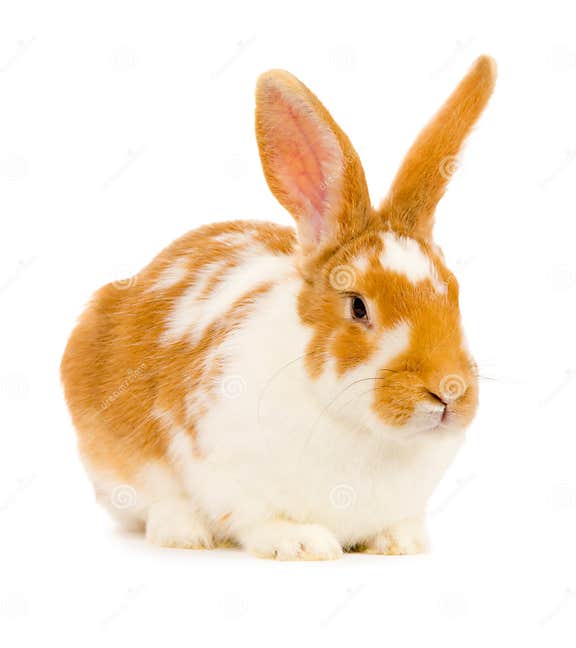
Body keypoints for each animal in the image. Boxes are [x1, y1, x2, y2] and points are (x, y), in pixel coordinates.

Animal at [61, 56, 496, 560]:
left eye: (455, 291)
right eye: (358, 307)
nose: (449, 389)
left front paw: (399, 542)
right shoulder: (221, 466)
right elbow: (258, 518)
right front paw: (303, 543)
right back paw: (185, 532)